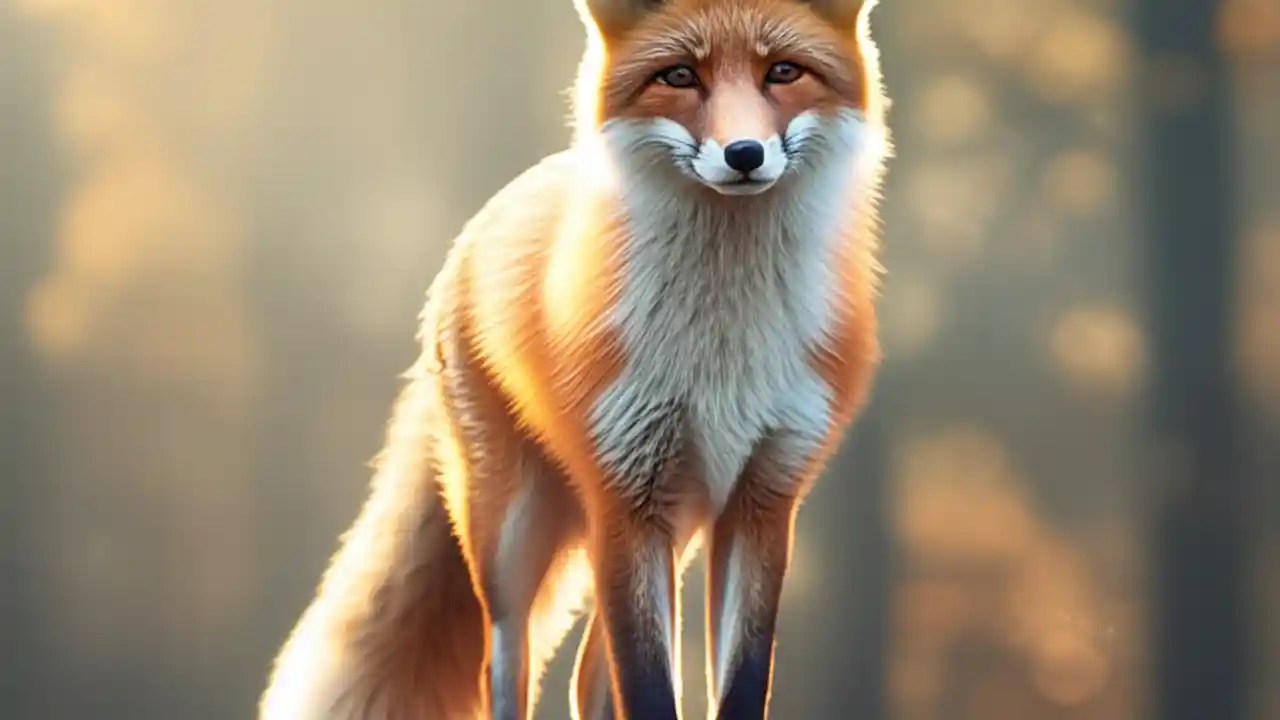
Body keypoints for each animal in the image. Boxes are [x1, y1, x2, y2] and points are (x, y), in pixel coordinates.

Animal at [260, 0, 890, 718]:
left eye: (783, 72)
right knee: (508, 665)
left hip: (676, 524)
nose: (745, 154)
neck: (722, 346)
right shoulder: (626, 494)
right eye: (680, 75)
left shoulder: (763, 499)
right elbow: (646, 688)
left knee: (588, 673)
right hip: (514, 534)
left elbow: (738, 685)